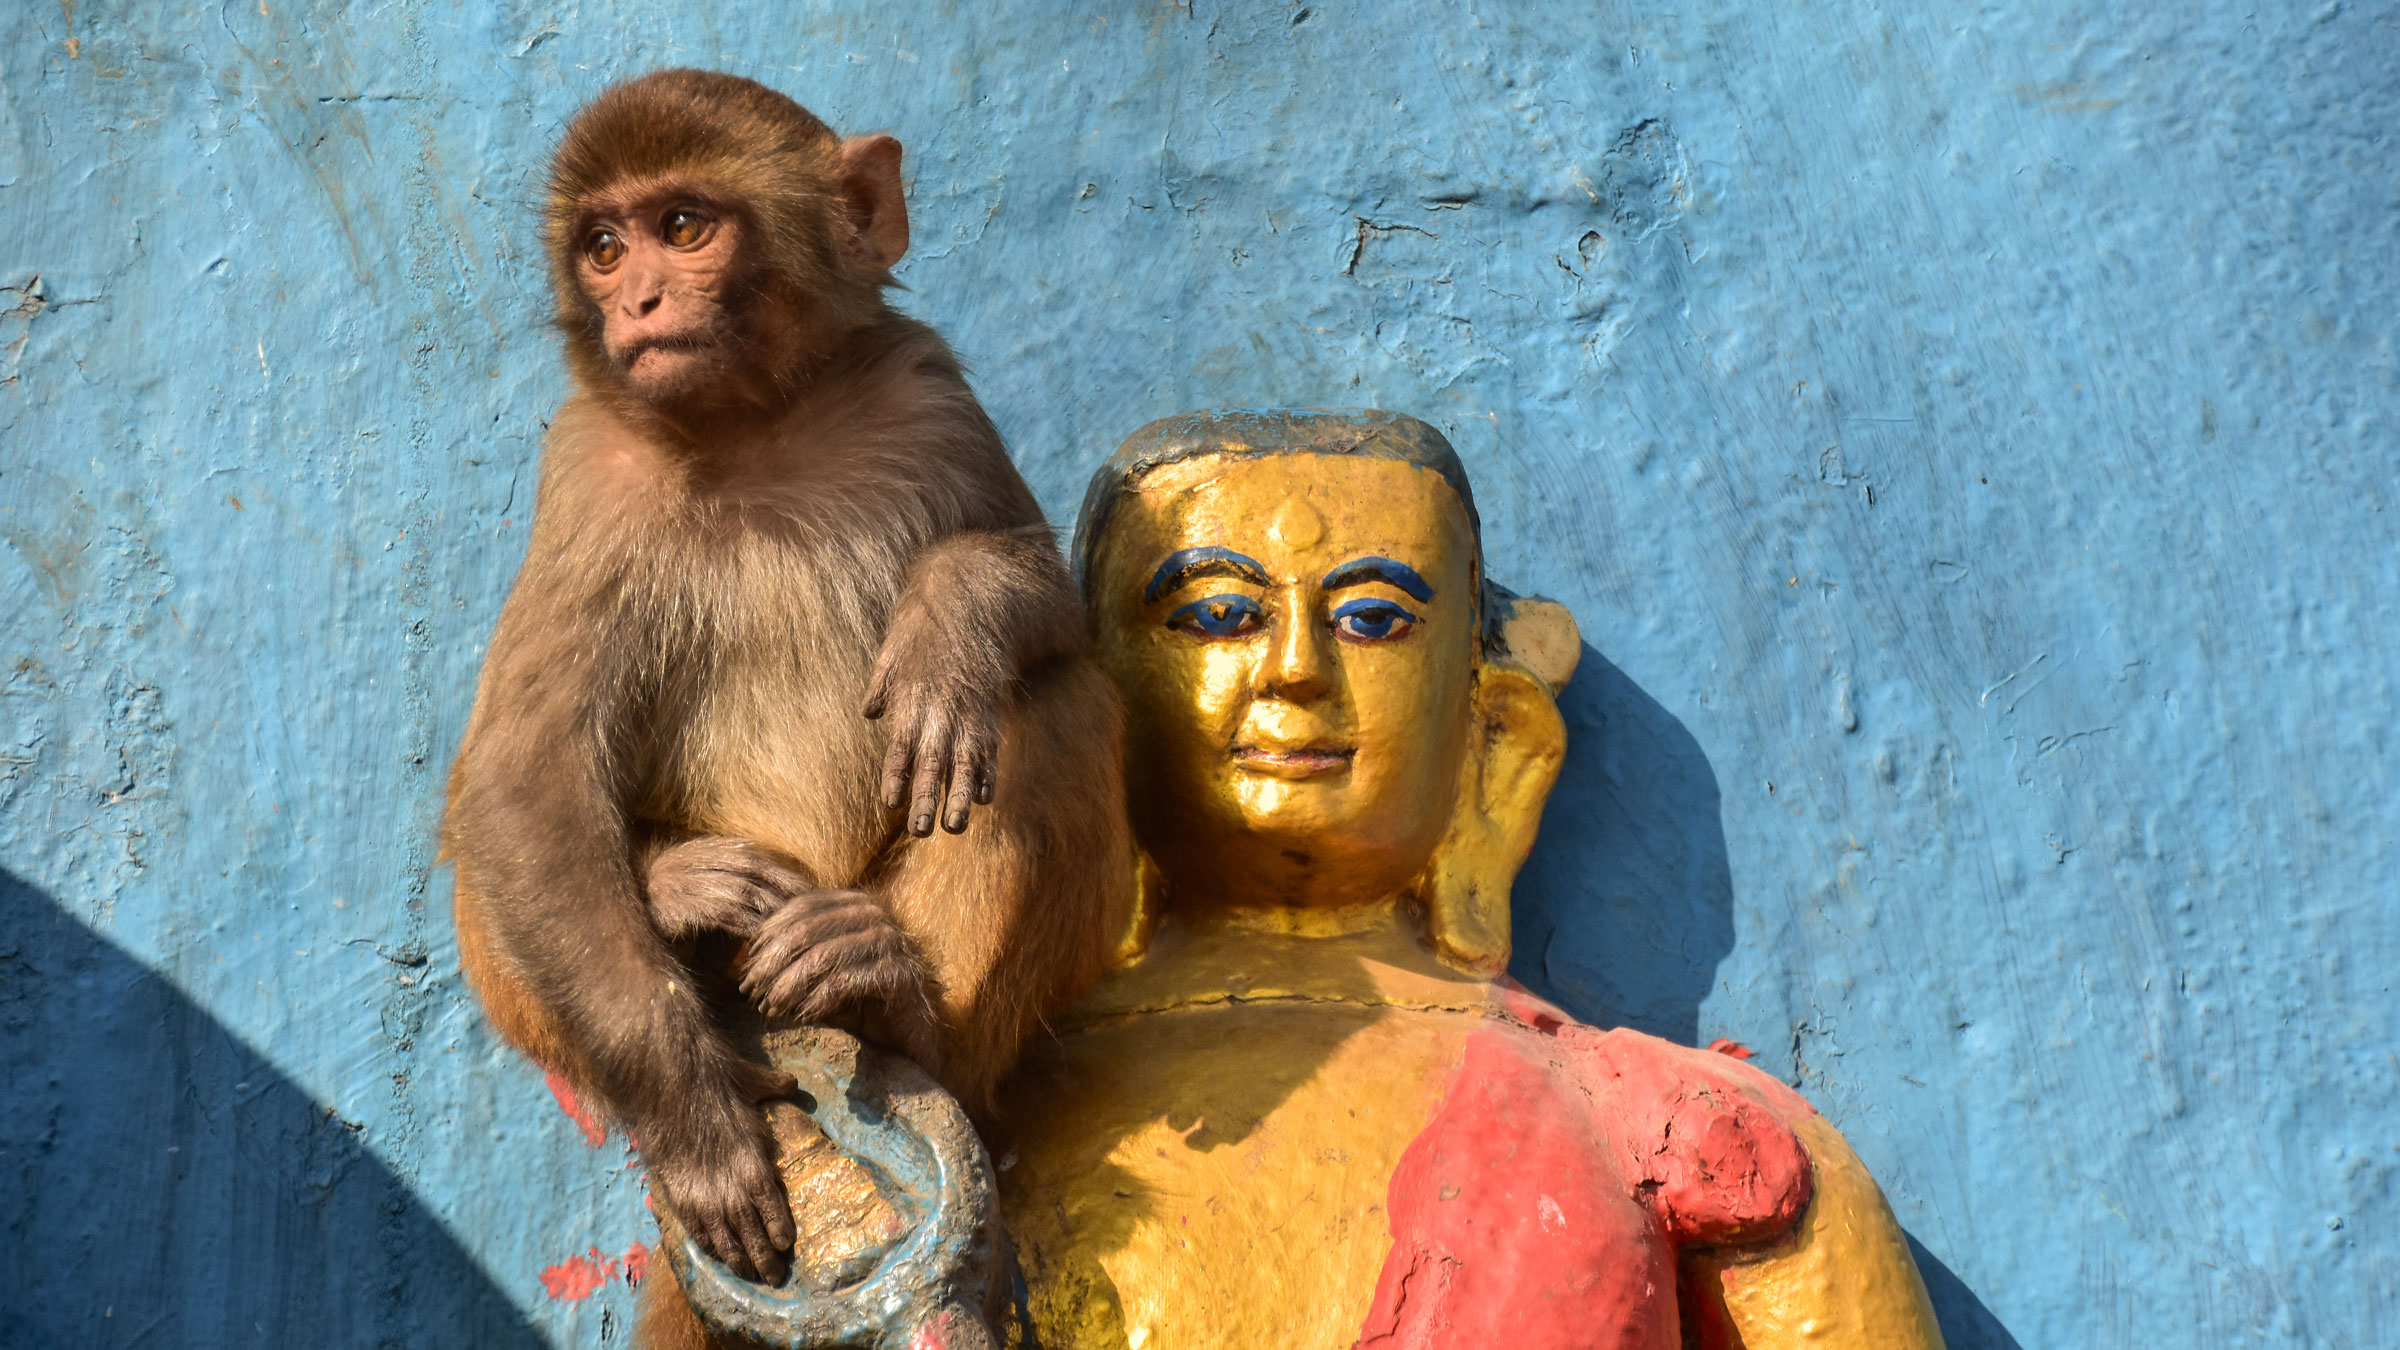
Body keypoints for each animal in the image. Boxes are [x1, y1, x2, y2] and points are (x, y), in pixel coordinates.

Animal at [438, 69, 1130, 1343]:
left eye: (683, 227)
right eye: (602, 247)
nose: (639, 298)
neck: (754, 425)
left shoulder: (922, 387)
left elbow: (1053, 604)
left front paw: (949, 629)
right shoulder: (588, 475)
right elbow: (520, 781)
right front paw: (694, 1119)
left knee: (1055, 709)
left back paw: (892, 995)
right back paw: (684, 895)